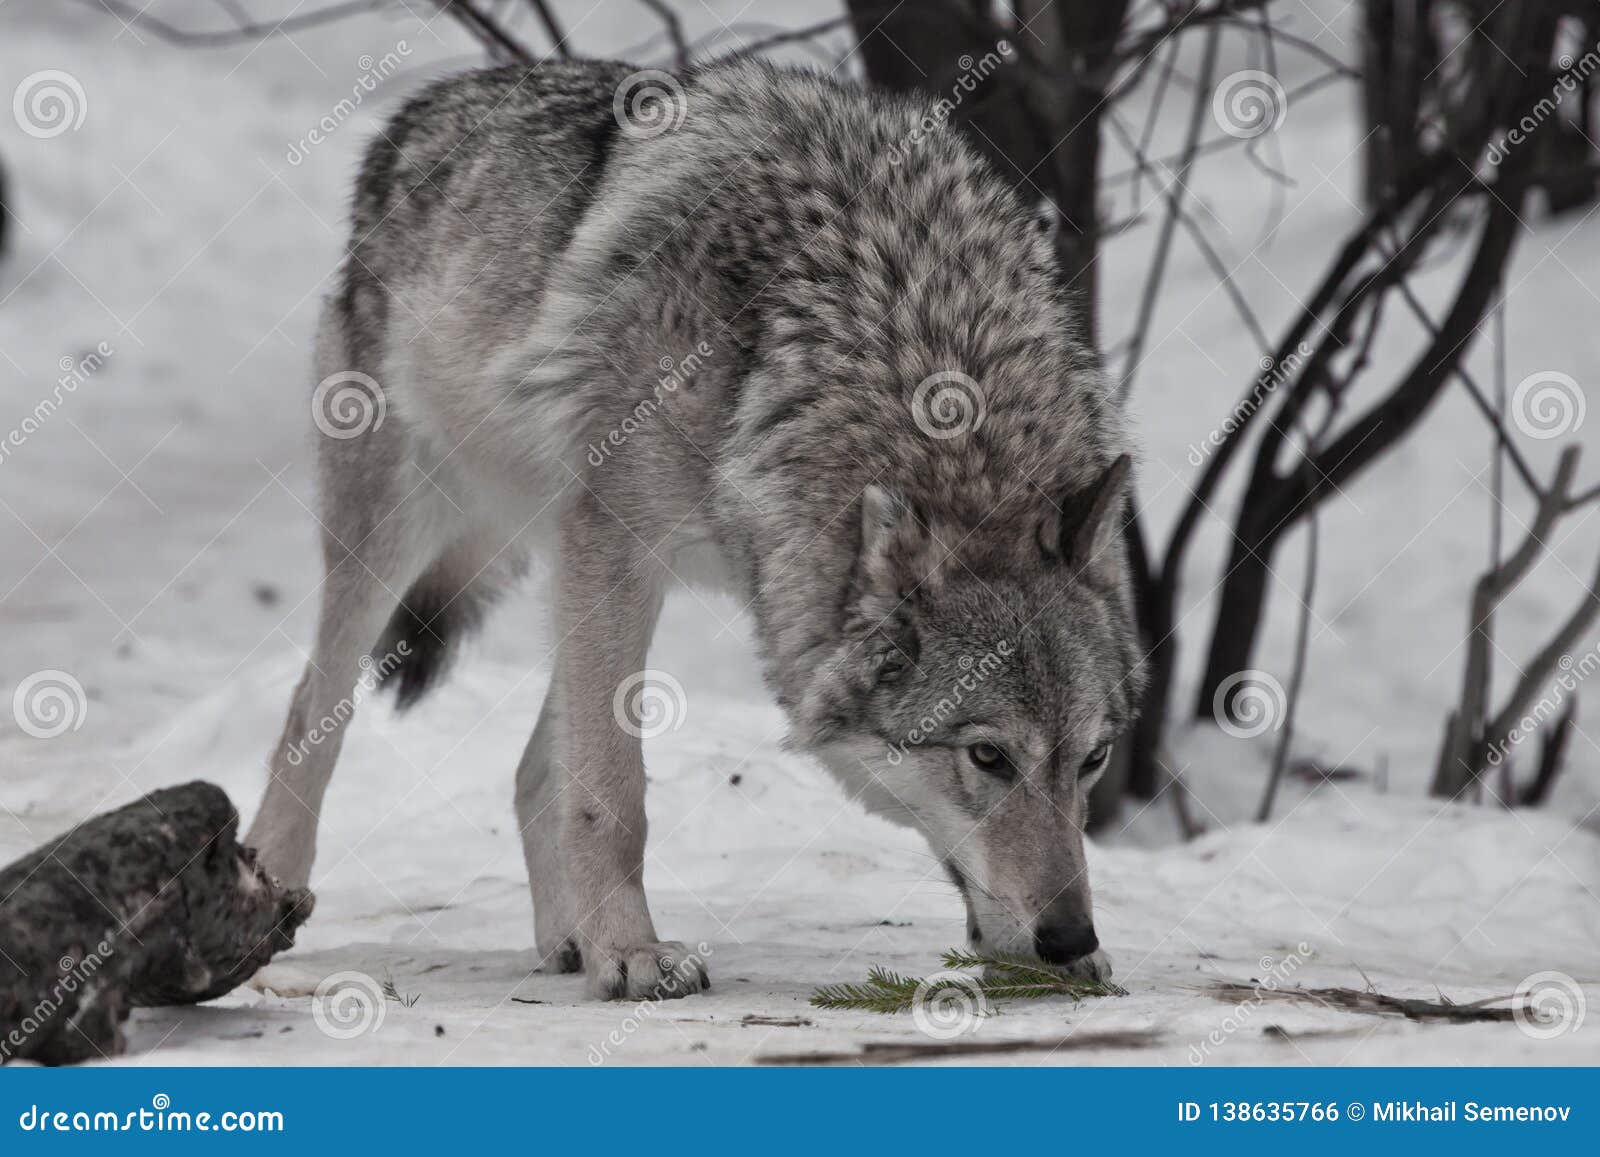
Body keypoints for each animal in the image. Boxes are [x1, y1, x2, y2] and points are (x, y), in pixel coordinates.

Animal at [246, 57, 1144, 1001]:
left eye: (1093, 759)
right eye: (989, 757)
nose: (1069, 936)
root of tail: (420, 110)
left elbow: (581, 777)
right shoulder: (617, 542)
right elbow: (615, 795)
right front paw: (633, 953)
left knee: (533, 770)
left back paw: (566, 940)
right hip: (403, 530)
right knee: (311, 715)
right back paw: (265, 903)